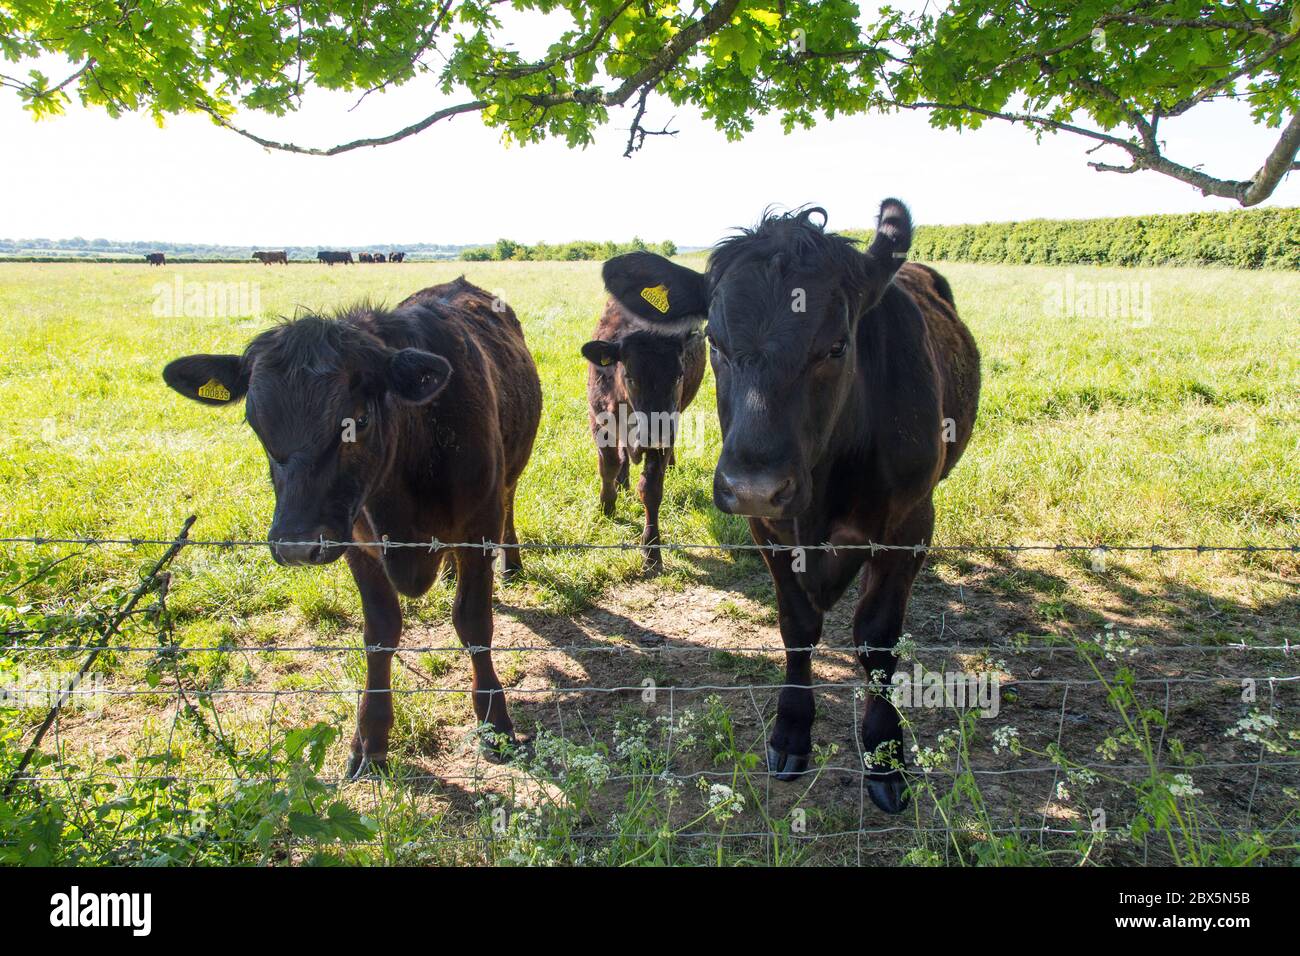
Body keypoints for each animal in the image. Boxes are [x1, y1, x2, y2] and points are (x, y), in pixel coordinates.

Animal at [161, 276, 542, 778]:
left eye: (359, 420)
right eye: (254, 423)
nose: (296, 545)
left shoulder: (478, 523)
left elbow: (474, 622)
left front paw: (495, 722)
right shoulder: (355, 542)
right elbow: (380, 632)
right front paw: (371, 738)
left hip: (510, 475)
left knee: (511, 499)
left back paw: (510, 562)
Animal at [582, 262, 707, 572]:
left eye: (678, 376)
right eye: (631, 376)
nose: (656, 434)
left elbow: (650, 488)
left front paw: (651, 550)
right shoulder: (599, 420)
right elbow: (608, 465)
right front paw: (607, 505)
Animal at [600, 202, 980, 814]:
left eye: (837, 347)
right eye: (716, 343)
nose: (755, 485)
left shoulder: (910, 523)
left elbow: (877, 639)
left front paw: (885, 757)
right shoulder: (767, 528)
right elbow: (796, 625)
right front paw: (791, 733)